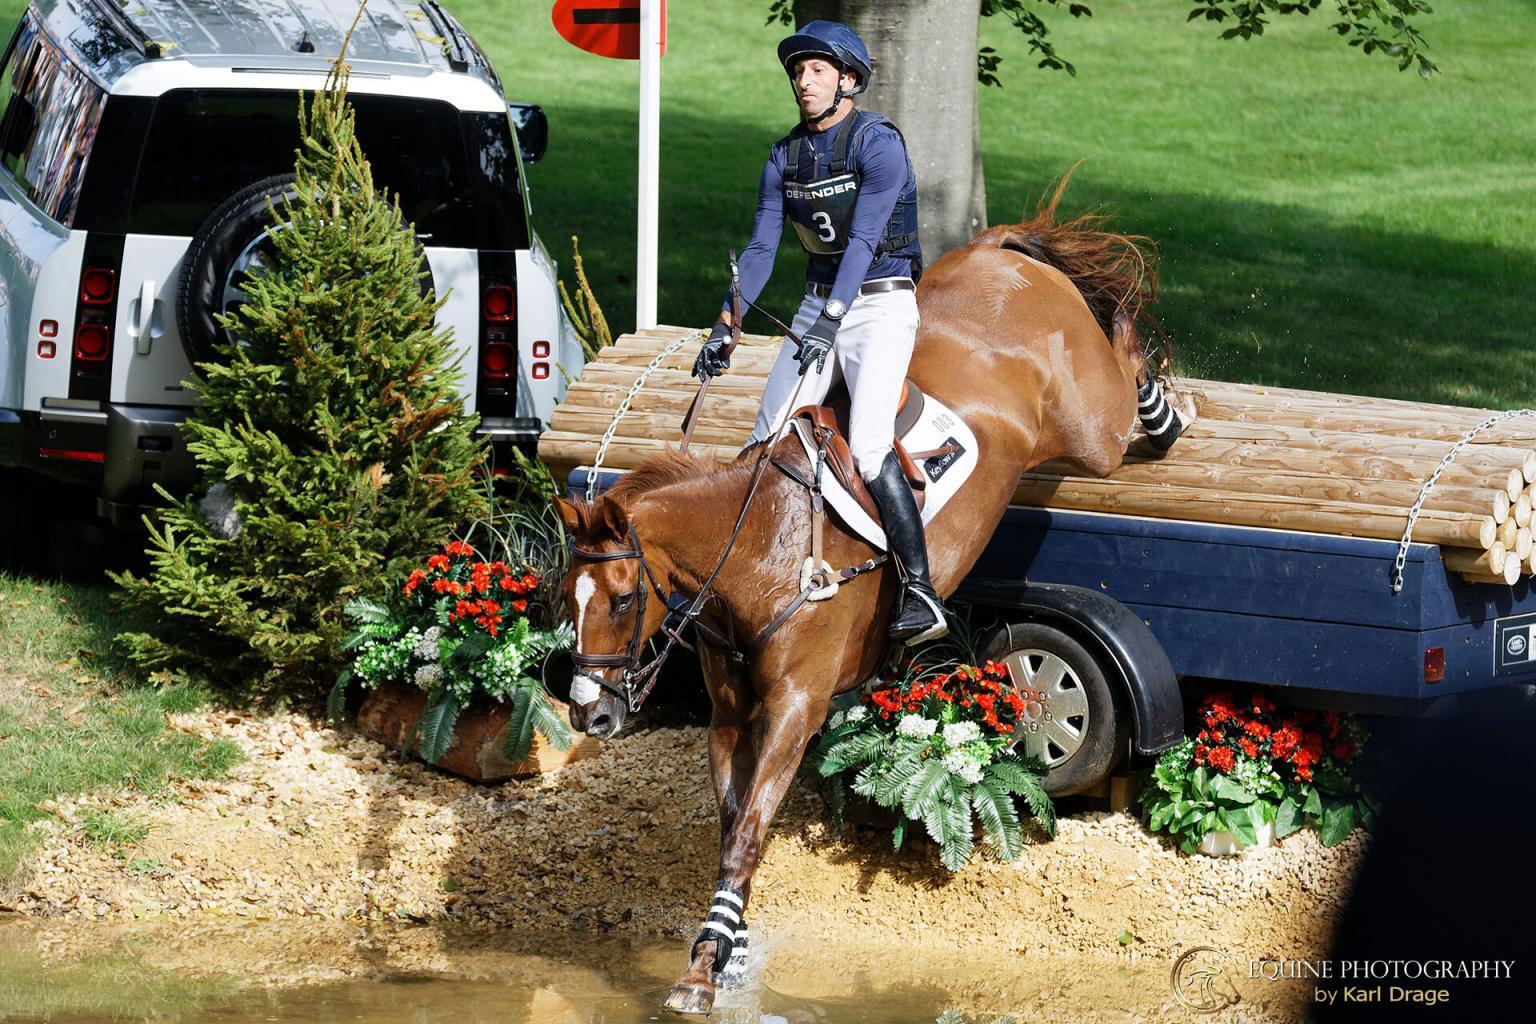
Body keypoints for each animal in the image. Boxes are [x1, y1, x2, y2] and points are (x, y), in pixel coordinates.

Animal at [551, 173, 1178, 1015]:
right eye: (568, 598)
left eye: (622, 600)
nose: (589, 712)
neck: (758, 551)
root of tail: (996, 254)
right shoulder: (730, 711)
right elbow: (731, 821)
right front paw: (730, 950)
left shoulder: (796, 706)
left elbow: (748, 830)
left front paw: (703, 970)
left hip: (1089, 429)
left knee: (1123, 369)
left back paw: (1165, 412)